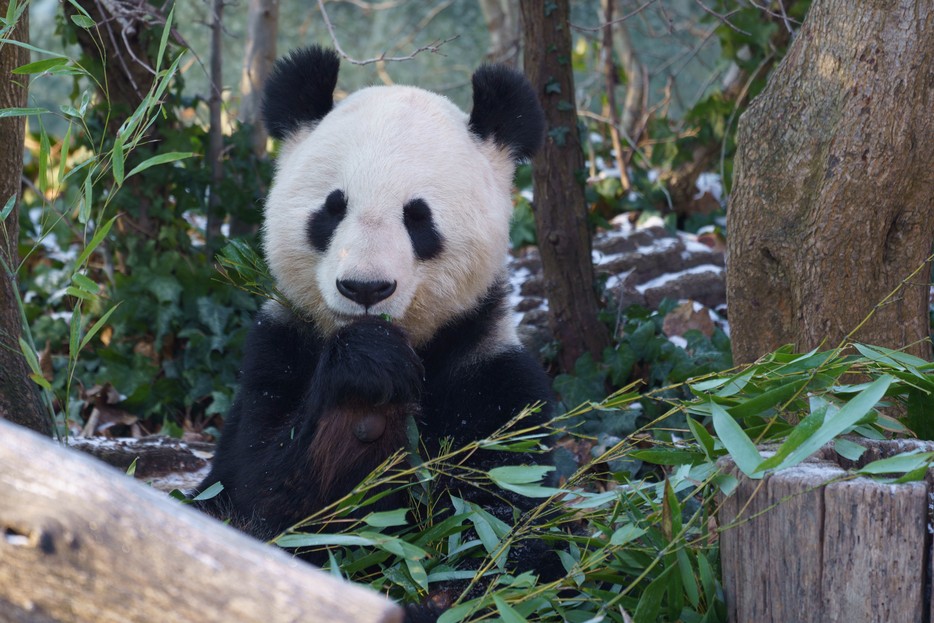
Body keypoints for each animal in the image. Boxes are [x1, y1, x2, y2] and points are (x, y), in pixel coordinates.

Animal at [196, 46, 552, 564]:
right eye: (332, 208)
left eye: (419, 218)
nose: (365, 288)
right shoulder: (276, 352)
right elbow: (261, 489)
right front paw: (366, 380)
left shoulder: (489, 372)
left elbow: (505, 519)